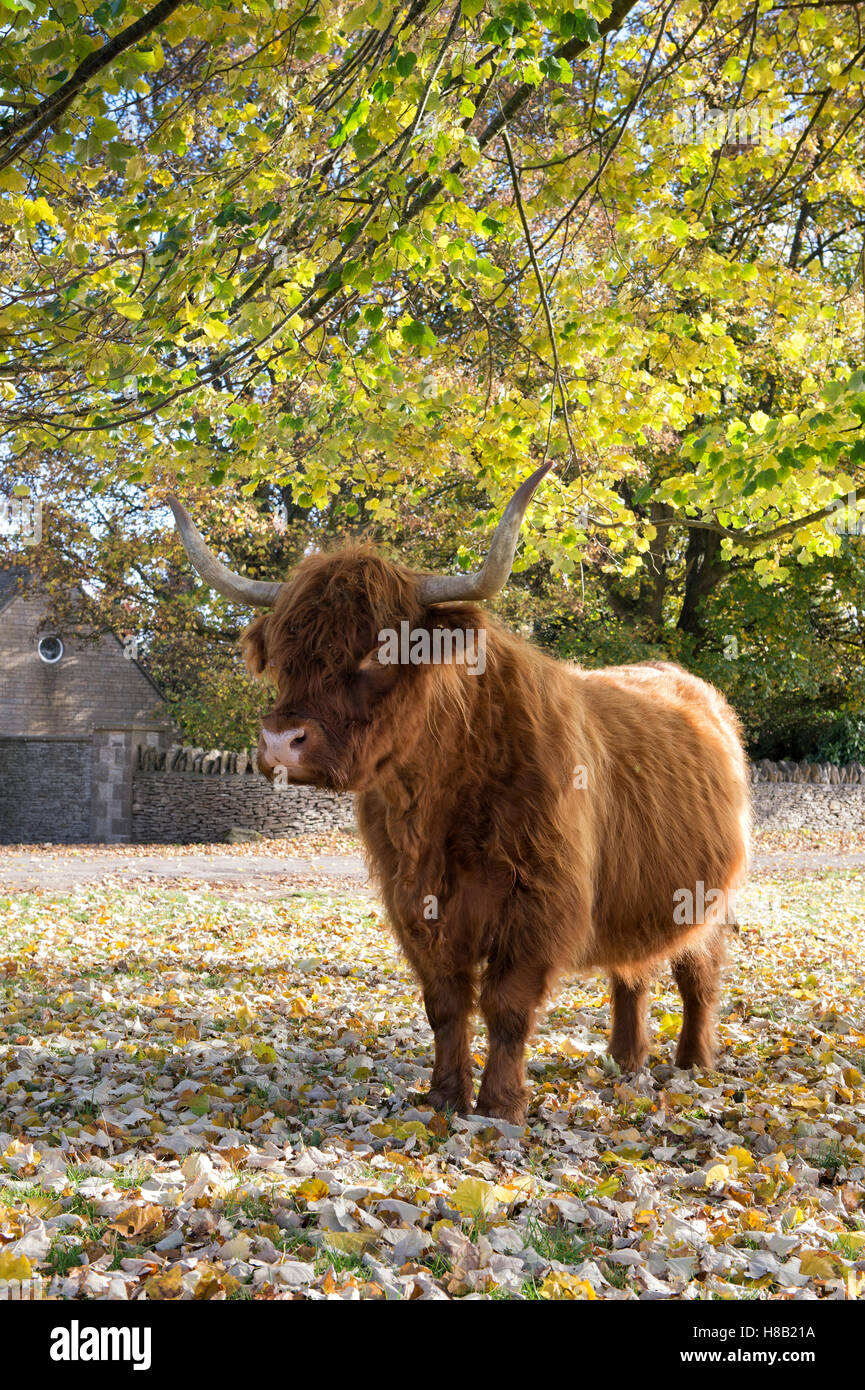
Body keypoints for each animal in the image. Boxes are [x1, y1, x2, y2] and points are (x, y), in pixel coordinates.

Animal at [169, 465, 750, 1124]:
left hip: (708, 898)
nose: (280, 741)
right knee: (634, 971)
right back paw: (626, 1061)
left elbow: (507, 1006)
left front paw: (501, 1107)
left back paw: (693, 1063)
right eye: (284, 652)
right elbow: (445, 1005)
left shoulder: (539, 903)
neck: (436, 802)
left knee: (699, 975)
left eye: (381, 649)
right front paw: (445, 1098)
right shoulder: (412, 905)